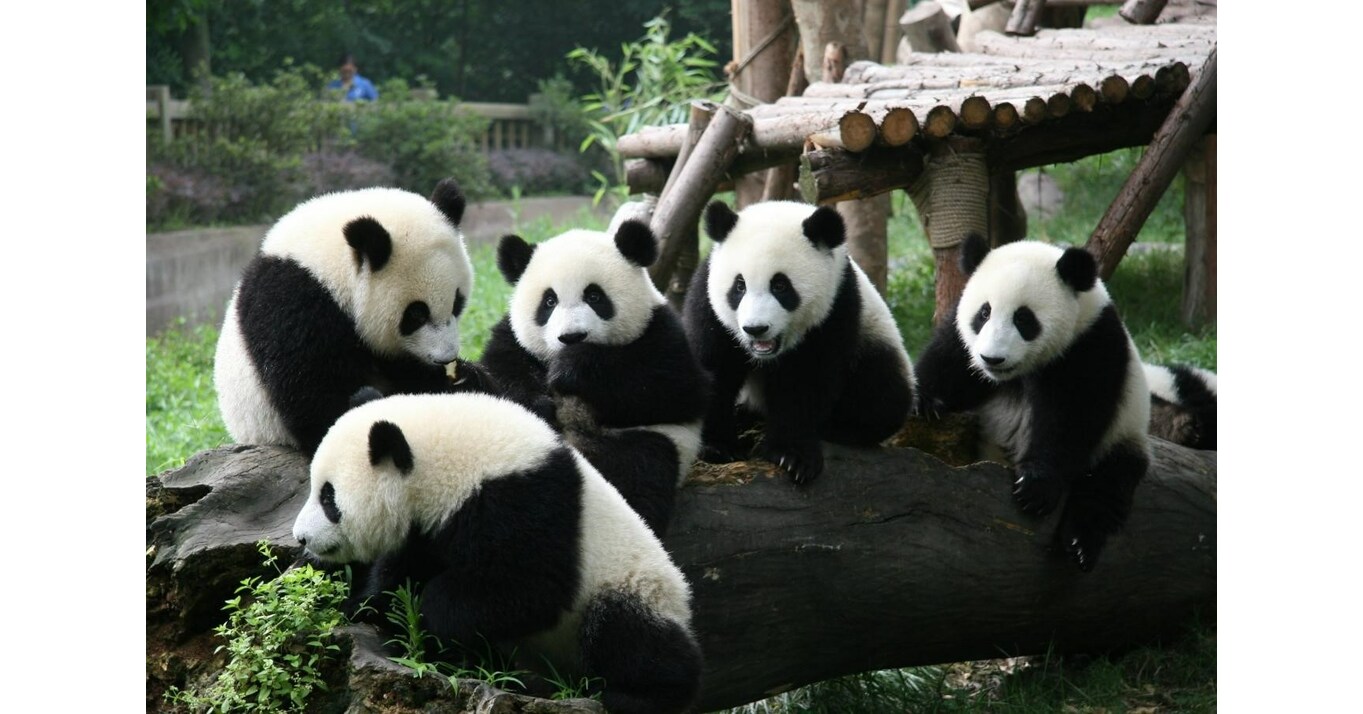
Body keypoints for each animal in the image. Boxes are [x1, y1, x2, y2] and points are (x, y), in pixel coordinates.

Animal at [214, 178, 494, 458]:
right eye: (416, 314)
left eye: (457, 302)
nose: (446, 357)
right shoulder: (293, 305)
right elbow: (313, 397)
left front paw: (467, 378)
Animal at [292, 392, 703, 714]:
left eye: (328, 498)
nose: (301, 539)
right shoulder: (429, 529)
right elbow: (402, 570)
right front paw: (367, 608)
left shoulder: (522, 500)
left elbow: (531, 589)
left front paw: (431, 615)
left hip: (633, 587)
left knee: (631, 638)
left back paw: (632, 695)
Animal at [478, 219, 710, 536]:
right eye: (549, 301)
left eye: (594, 296)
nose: (571, 337)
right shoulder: (512, 340)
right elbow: (502, 374)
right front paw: (539, 402)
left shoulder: (663, 331)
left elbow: (675, 388)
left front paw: (572, 366)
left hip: (650, 443)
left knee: (637, 474)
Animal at [682, 200, 917, 485]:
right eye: (739, 286)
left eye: (780, 286)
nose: (755, 329)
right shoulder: (708, 303)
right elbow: (713, 367)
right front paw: (716, 446)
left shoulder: (836, 305)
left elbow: (807, 380)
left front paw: (792, 456)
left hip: (875, 339)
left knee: (883, 394)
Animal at [913, 234, 1151, 571]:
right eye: (983, 313)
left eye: (1023, 318)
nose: (991, 359)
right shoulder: (962, 339)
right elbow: (948, 362)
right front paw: (924, 401)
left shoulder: (1089, 346)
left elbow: (1070, 419)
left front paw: (1036, 486)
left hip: (1125, 432)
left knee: (1108, 485)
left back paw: (1080, 543)